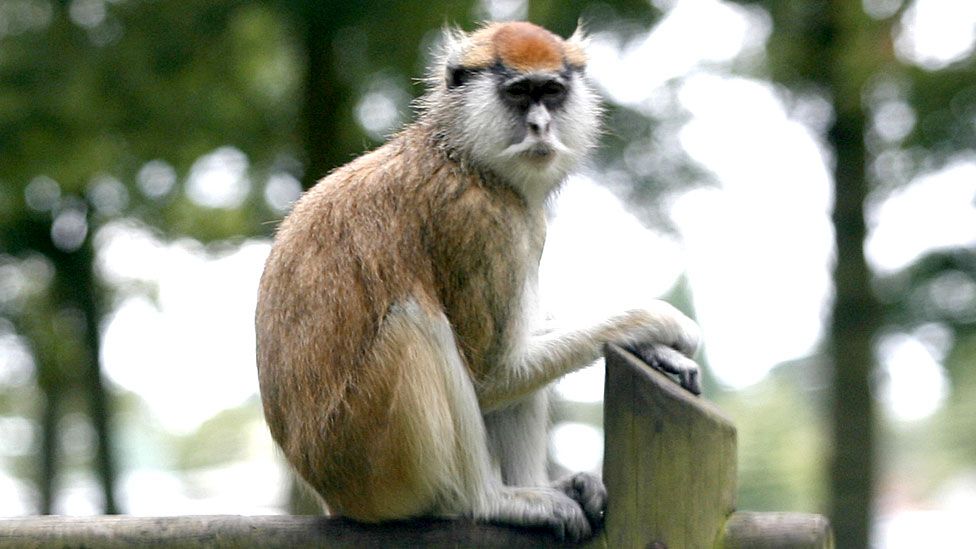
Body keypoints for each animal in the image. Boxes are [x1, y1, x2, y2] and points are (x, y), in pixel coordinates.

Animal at [255, 21, 702, 541]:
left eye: (551, 92)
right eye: (519, 93)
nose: (540, 126)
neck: (460, 152)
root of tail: (330, 494)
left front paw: (656, 351)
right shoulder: (479, 220)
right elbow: (494, 373)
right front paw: (661, 323)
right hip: (371, 459)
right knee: (416, 321)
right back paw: (490, 500)